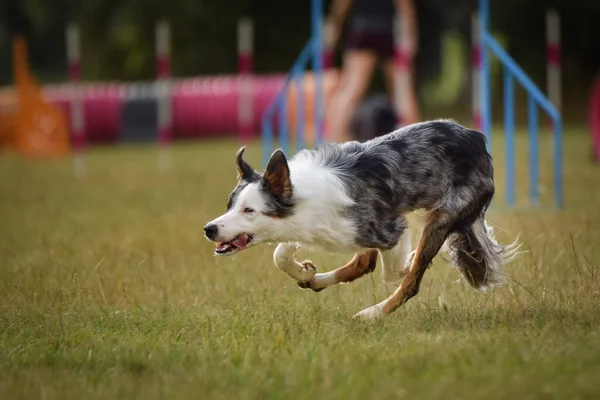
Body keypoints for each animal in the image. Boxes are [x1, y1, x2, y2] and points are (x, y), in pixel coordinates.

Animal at [203, 119, 520, 318]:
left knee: (408, 282)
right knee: (362, 263)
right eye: (230, 204)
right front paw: (304, 270)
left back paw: (372, 313)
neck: (303, 197)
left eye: (249, 210)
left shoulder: (391, 228)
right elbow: (280, 254)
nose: (209, 229)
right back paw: (317, 280)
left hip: (442, 216)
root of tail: (477, 139)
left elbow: (396, 271)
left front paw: (409, 263)